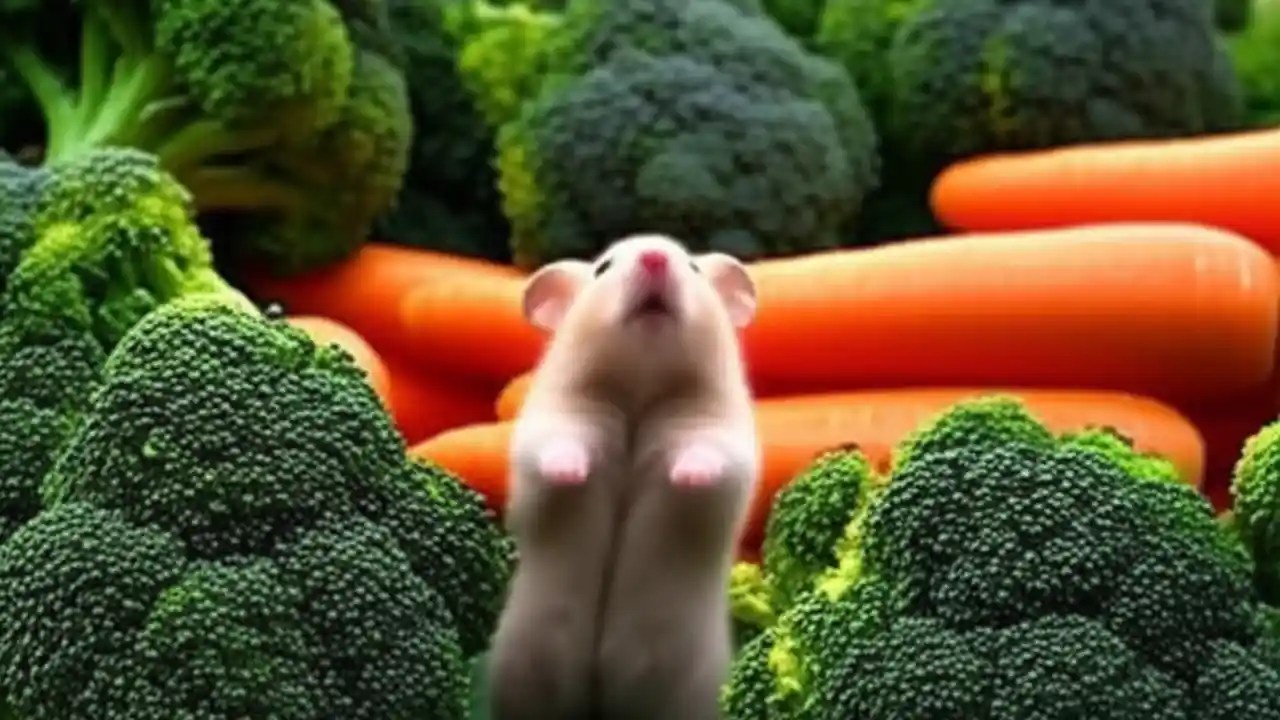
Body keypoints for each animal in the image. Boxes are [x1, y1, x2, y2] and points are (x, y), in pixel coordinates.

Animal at [487, 233, 760, 720]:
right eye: (604, 268)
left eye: (692, 266)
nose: (655, 257)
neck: (640, 388)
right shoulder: (552, 423)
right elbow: (558, 450)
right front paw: (572, 472)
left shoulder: (721, 435)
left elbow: (706, 459)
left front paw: (686, 476)